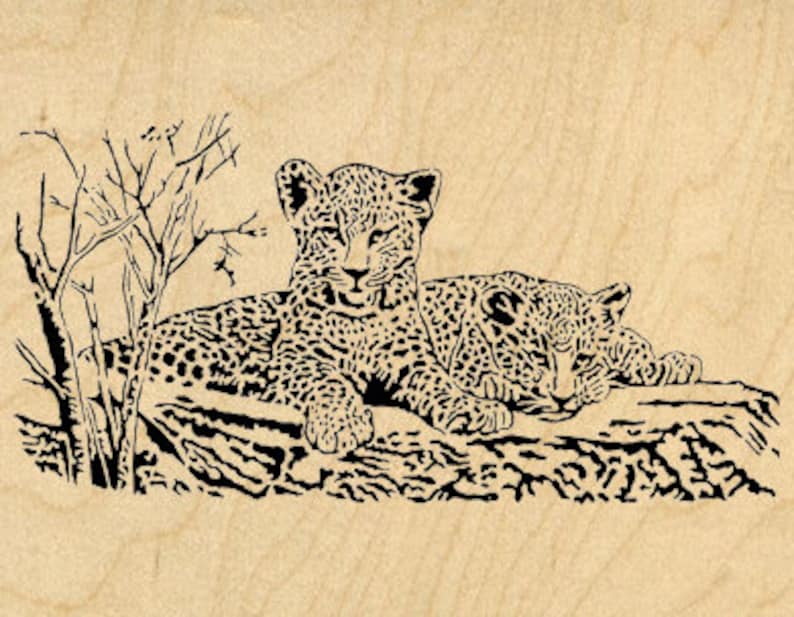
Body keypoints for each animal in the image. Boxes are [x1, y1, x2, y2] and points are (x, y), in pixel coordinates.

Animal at [84, 159, 513, 454]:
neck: (360, 321)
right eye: (332, 232)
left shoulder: (412, 360)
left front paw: (473, 407)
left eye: (379, 234)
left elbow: (440, 382)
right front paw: (342, 424)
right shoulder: (297, 360)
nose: (355, 272)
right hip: (210, 351)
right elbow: (329, 381)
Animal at [420, 271, 702, 421]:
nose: (562, 399)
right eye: (537, 357)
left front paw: (673, 365)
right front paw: (501, 385)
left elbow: (628, 340)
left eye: (583, 359)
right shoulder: (464, 359)